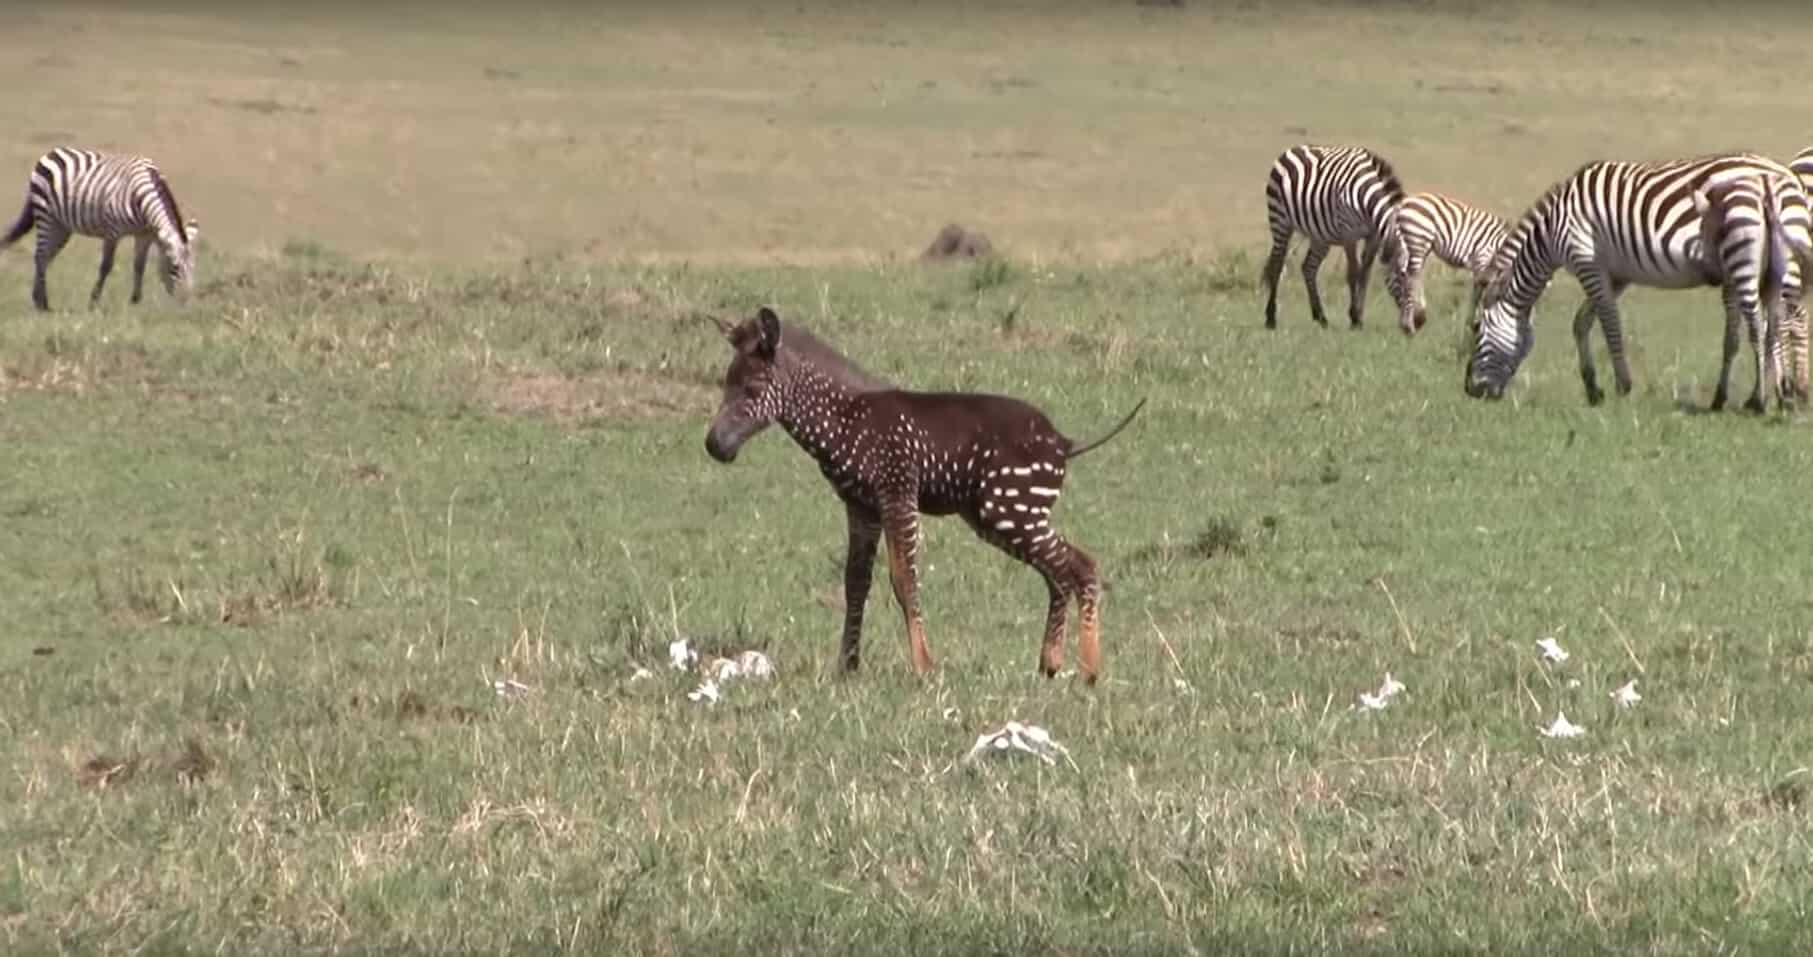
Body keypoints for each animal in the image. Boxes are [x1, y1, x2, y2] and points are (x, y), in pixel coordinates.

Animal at [2, 147, 198, 311]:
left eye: (193, 268)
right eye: (174, 268)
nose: (186, 301)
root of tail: (51, 153)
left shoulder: (145, 235)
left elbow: (139, 266)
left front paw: (135, 301)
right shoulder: (113, 232)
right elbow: (106, 266)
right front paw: (93, 302)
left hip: (61, 225)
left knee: (46, 257)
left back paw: (39, 300)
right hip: (45, 215)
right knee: (41, 256)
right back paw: (43, 303)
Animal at [1261, 144, 1407, 330]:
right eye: (1403, 275)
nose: (1418, 320)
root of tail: (1292, 149)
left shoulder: (1373, 237)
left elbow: (1365, 275)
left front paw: (1359, 316)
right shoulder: (1349, 234)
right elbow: (1353, 273)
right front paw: (1354, 318)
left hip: (1320, 235)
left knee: (1308, 268)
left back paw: (1320, 317)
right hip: (1280, 220)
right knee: (1277, 265)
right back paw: (1271, 318)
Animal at [1381, 191, 1509, 335]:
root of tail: (1403, 203)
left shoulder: (1482, 269)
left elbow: (1478, 291)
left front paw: (1473, 323)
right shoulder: (1482, 258)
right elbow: (1480, 292)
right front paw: (1475, 324)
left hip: (1421, 244)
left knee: (1410, 273)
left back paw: (1417, 316)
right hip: (1418, 238)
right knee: (1410, 276)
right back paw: (1410, 323)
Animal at [1466, 153, 1813, 410]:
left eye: (1477, 328)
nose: (1469, 389)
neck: (1552, 229)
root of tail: (1778, 174)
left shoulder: (1586, 260)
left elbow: (1609, 324)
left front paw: (1623, 385)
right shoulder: (1615, 275)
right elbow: (1581, 322)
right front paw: (1593, 387)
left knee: (1772, 321)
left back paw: (1768, 396)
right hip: (1773, 263)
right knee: (1776, 320)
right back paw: (1778, 394)